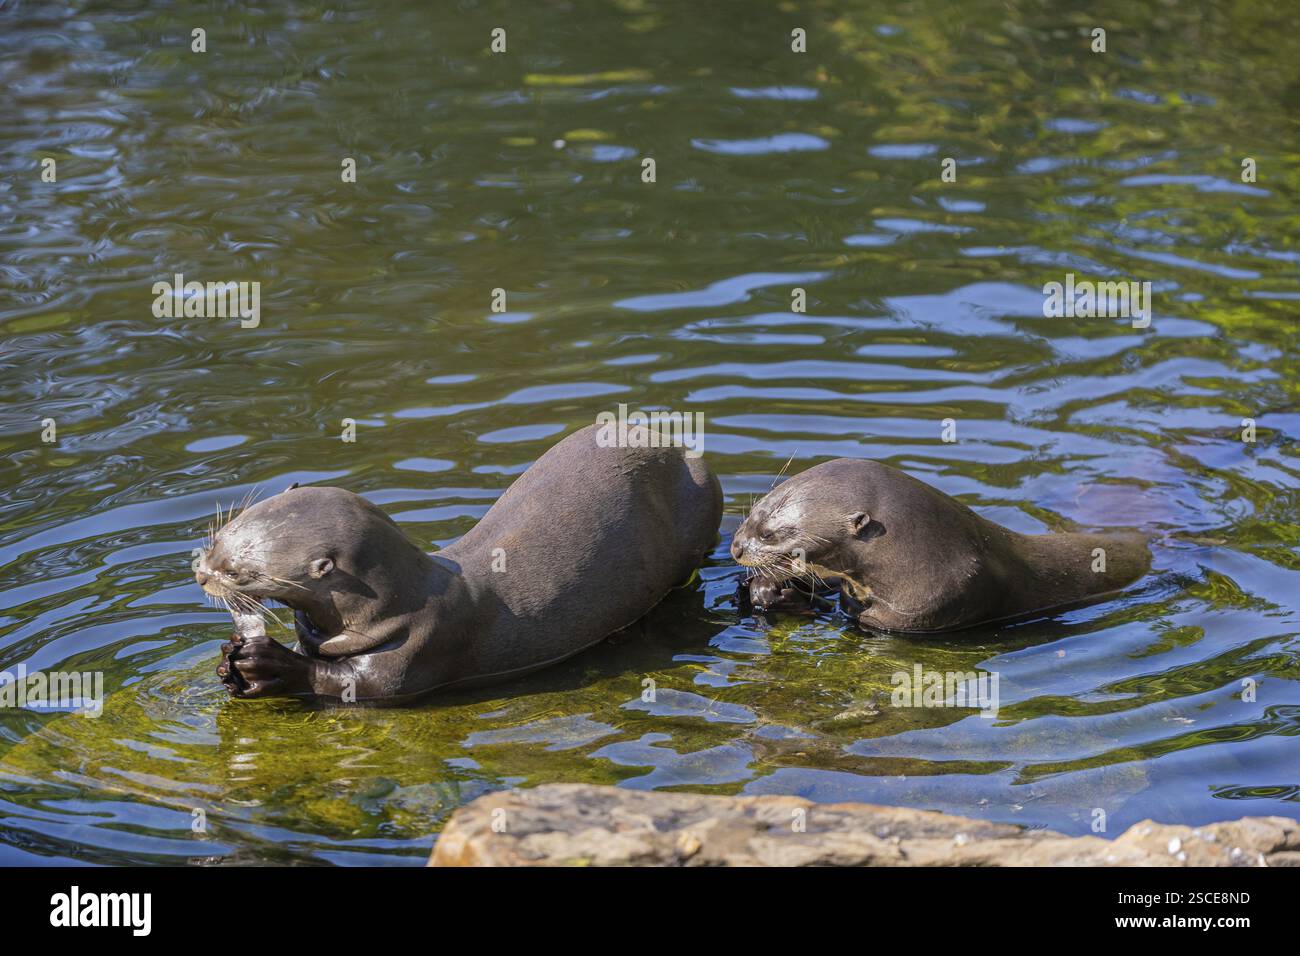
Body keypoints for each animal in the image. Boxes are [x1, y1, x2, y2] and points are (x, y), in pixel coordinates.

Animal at [196, 424, 722, 701]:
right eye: (221, 536)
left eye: (240, 572)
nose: (202, 572)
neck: (387, 607)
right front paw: (229, 663)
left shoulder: (426, 640)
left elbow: (359, 686)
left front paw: (268, 663)